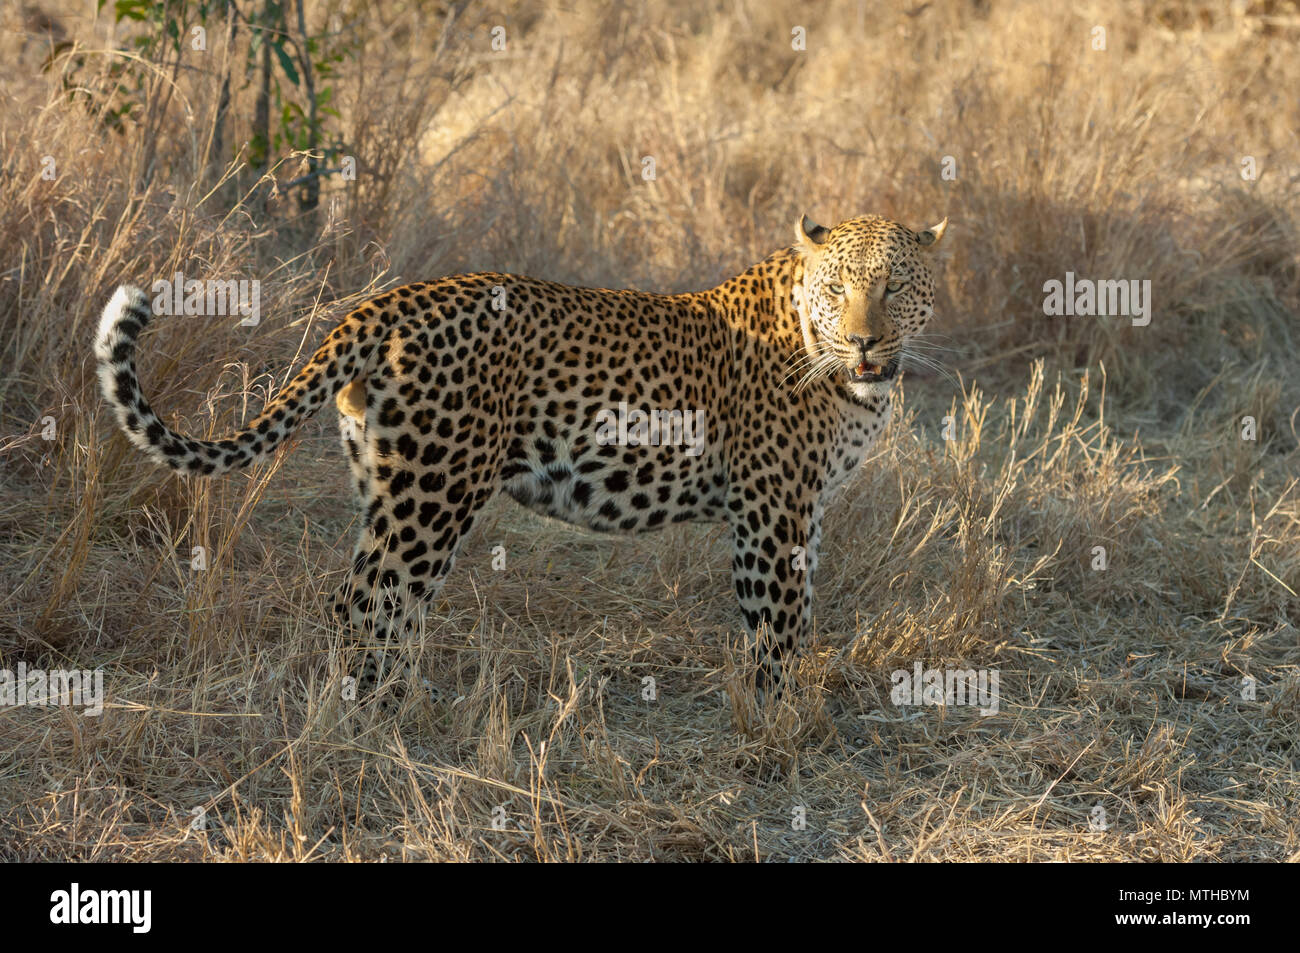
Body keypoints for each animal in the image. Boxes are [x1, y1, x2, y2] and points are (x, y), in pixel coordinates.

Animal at [95, 213, 947, 710]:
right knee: (367, 599)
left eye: (895, 286)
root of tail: (387, 301)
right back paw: (376, 718)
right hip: (437, 488)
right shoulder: (773, 510)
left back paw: (407, 700)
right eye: (839, 287)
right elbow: (778, 623)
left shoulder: (804, 509)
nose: (865, 339)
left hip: (388, 481)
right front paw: (779, 715)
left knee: (391, 603)